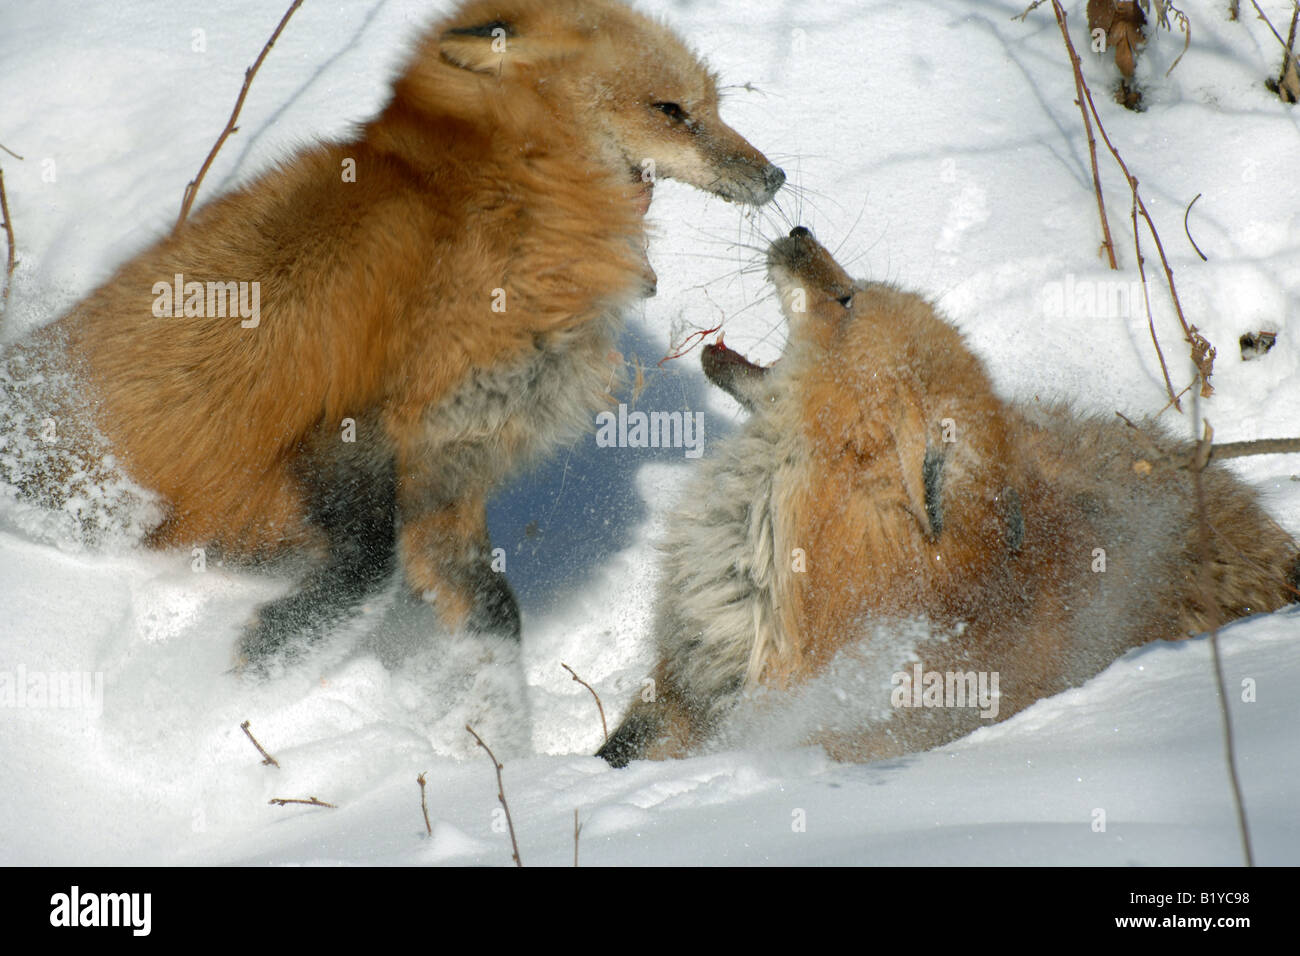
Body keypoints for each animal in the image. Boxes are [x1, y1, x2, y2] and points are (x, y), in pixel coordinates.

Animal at [0, 0, 784, 666]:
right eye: (671, 110)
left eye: (711, 107)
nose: (775, 174)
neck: (509, 206)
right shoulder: (355, 424)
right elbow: (367, 573)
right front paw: (260, 665)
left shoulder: (450, 473)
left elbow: (493, 615)